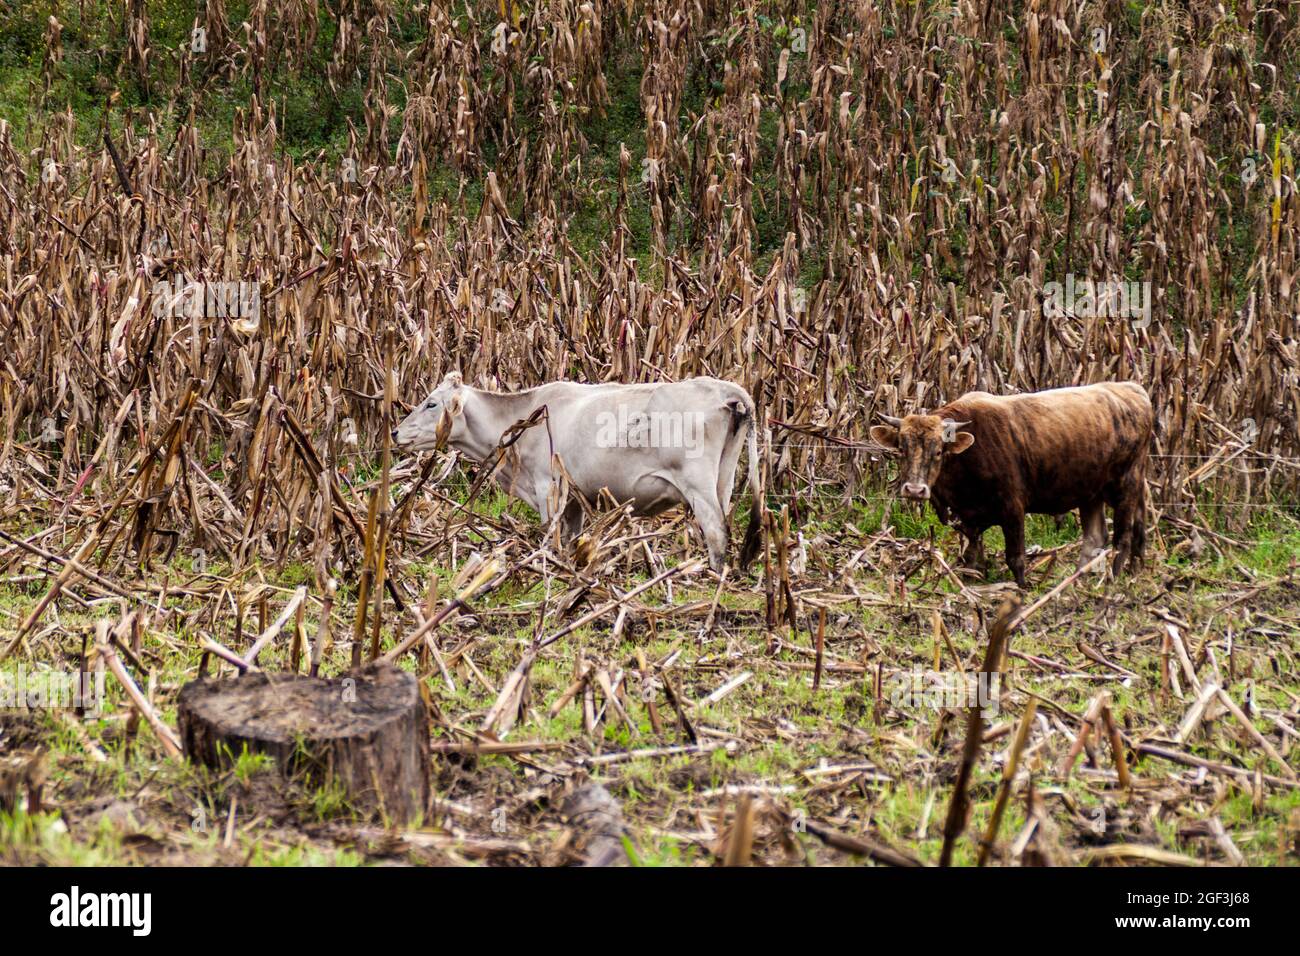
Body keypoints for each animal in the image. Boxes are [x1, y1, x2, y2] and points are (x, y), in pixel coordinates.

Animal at [393, 372, 763, 573]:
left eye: (431, 403)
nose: (395, 432)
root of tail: (724, 390)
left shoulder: (548, 486)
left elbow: (550, 537)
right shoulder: (573, 499)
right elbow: (570, 540)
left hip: (699, 486)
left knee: (715, 532)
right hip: (724, 480)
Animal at [868, 382, 1154, 588]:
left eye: (938, 451)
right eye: (902, 449)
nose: (915, 490)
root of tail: (1132, 389)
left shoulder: (1013, 507)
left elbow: (1015, 556)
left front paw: (1022, 587)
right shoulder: (969, 518)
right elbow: (972, 557)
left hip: (1126, 486)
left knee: (1123, 537)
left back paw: (1112, 579)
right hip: (1091, 493)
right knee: (1095, 538)